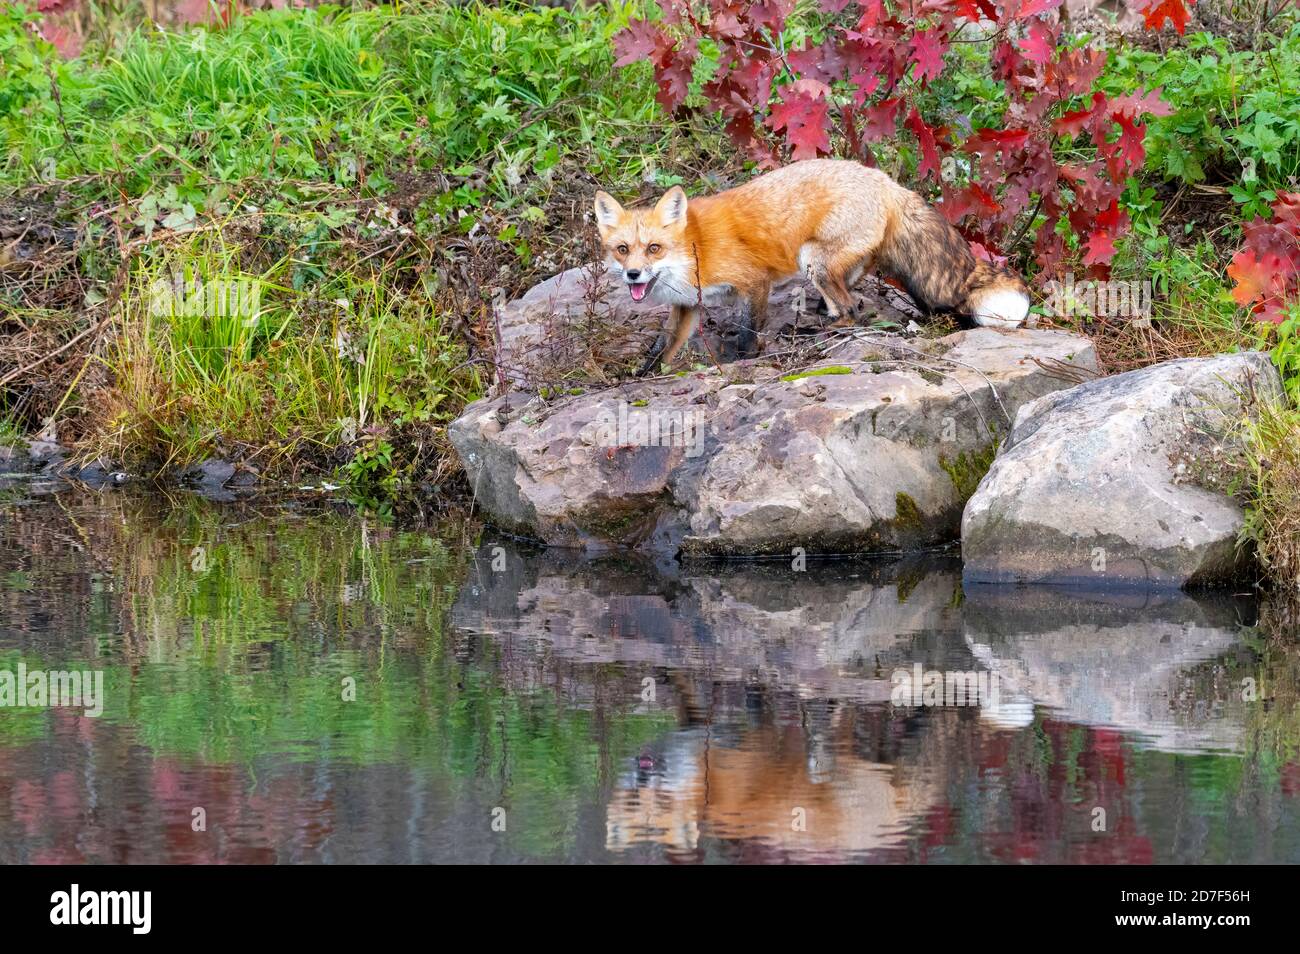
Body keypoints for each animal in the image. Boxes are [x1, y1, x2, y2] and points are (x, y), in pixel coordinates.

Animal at [593, 158, 1031, 376]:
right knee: (848, 298)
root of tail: (886, 180)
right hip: (832, 263)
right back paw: (819, 319)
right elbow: (662, 347)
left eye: (653, 249)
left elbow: (749, 331)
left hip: (811, 260)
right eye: (622, 250)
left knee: (852, 310)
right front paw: (641, 375)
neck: (693, 248)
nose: (633, 274)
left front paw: (742, 361)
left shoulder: (754, 282)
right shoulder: (686, 305)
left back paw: (822, 331)